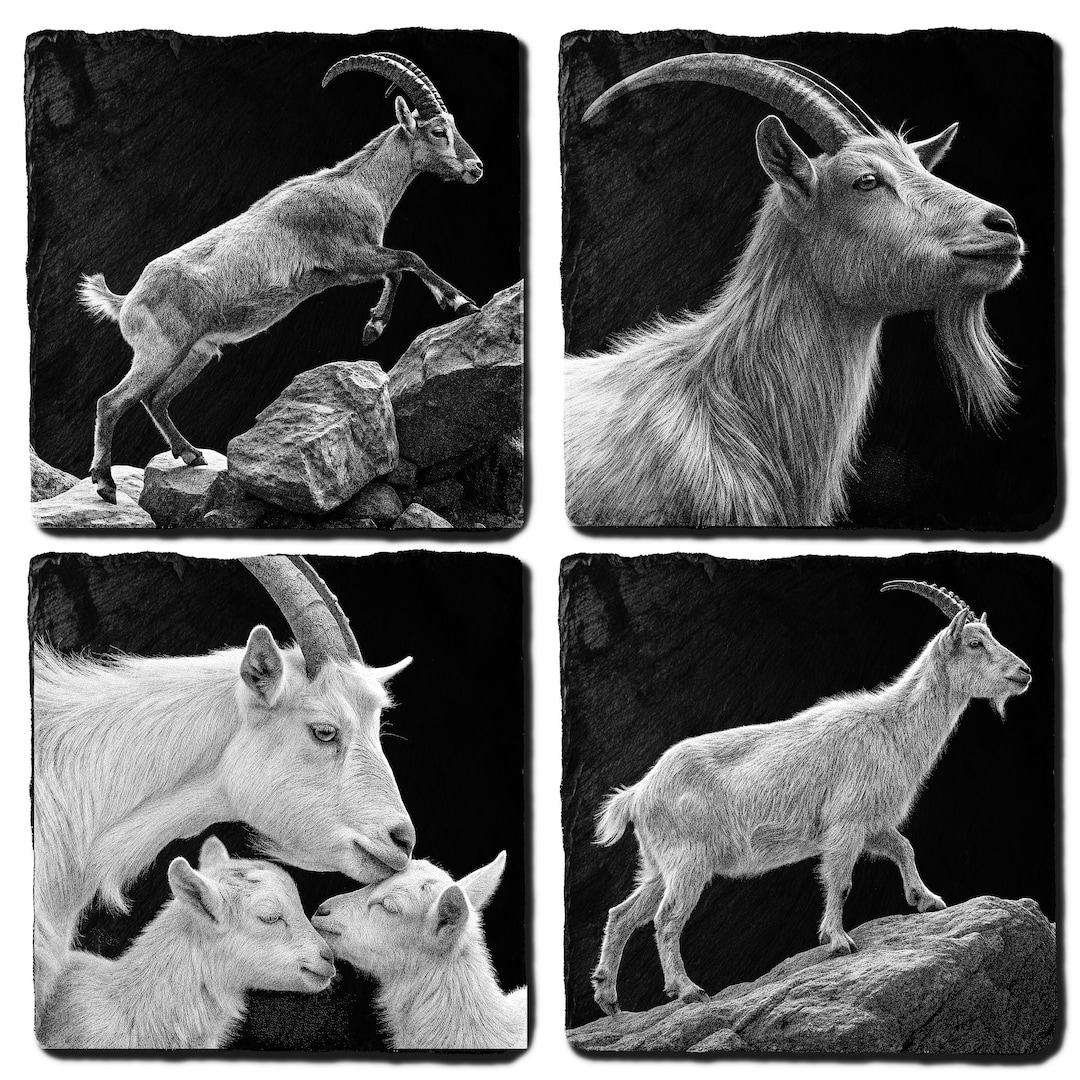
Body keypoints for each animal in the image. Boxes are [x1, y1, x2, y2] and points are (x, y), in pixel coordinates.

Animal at [79, 52, 483, 503]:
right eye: (438, 131)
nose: (477, 168)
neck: (358, 186)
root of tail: (127, 301)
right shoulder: (350, 255)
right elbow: (410, 258)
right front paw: (461, 302)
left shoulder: (350, 268)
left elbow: (396, 270)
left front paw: (373, 328)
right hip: (159, 351)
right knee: (111, 401)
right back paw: (105, 483)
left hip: (196, 352)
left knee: (156, 399)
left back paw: (190, 455)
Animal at [589, 579, 1032, 1014]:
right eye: (974, 642)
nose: (1024, 671)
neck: (890, 726)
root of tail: (638, 793)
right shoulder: (846, 823)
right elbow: (841, 881)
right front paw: (838, 940)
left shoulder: (871, 823)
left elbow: (904, 847)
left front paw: (926, 900)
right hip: (689, 860)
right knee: (666, 918)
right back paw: (687, 990)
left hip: (657, 865)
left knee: (621, 914)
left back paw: (607, 997)